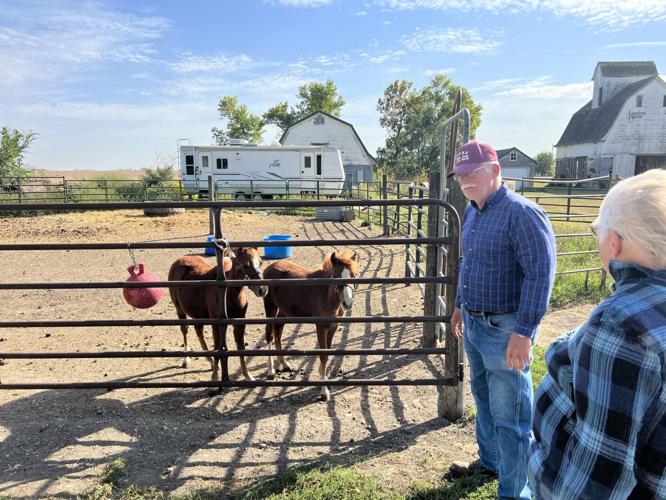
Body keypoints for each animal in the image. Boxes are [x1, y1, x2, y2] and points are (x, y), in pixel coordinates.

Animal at [168, 247, 268, 381]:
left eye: (261, 262)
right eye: (245, 265)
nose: (262, 289)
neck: (229, 293)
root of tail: (178, 261)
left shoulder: (239, 323)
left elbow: (241, 348)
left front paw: (248, 376)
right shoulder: (216, 324)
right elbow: (217, 348)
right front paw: (214, 377)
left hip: (197, 314)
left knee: (199, 331)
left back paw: (210, 362)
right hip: (180, 310)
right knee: (185, 330)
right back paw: (186, 360)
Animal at [262, 249, 359, 401]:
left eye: (354, 275)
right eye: (335, 276)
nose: (348, 303)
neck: (327, 296)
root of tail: (270, 266)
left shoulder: (333, 326)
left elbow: (327, 352)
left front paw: (322, 374)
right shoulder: (321, 327)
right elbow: (323, 355)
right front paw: (324, 391)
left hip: (283, 311)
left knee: (278, 331)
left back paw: (285, 364)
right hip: (270, 307)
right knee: (269, 334)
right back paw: (271, 370)